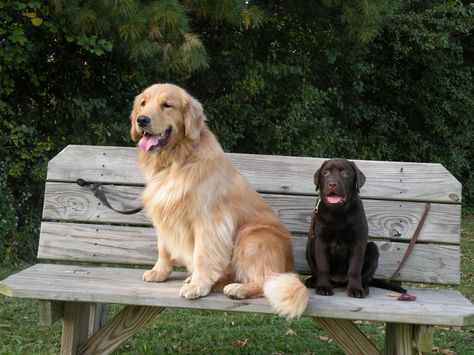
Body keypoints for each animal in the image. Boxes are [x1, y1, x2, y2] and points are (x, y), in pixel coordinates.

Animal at [130, 84, 310, 320]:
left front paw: (197, 286)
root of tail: (291, 266)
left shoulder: (209, 222)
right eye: (143, 103)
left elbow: (202, 256)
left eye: (167, 105)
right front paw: (160, 272)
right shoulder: (165, 214)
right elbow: (164, 248)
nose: (141, 120)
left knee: (265, 282)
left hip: (252, 236)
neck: (175, 162)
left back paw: (237, 288)